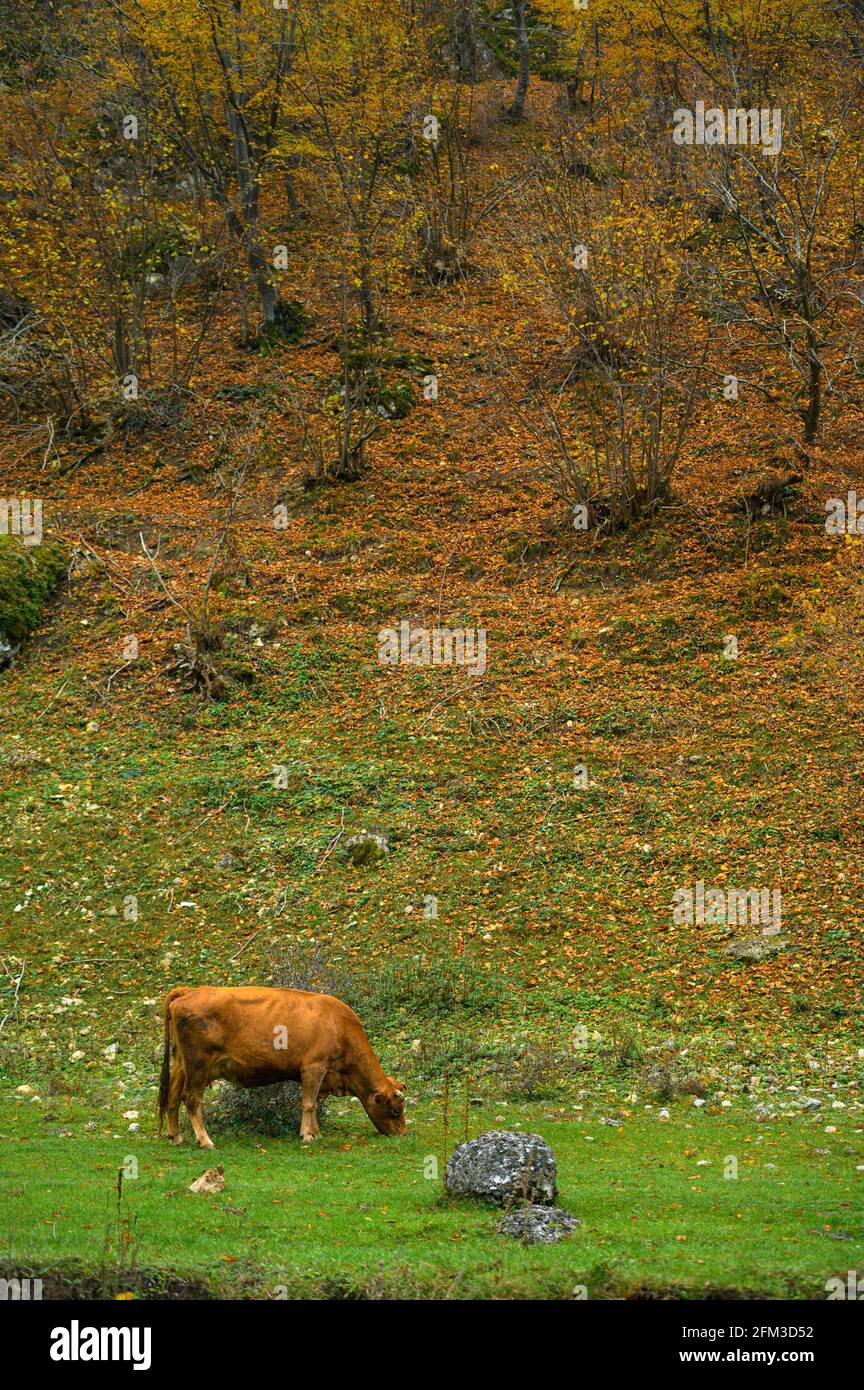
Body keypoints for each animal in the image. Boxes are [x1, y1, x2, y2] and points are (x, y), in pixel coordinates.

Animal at [157, 985, 407, 1147]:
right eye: (395, 1110)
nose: (403, 1133)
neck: (339, 1025)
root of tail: (190, 991)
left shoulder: (323, 1075)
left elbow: (315, 1103)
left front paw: (316, 1132)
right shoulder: (314, 1067)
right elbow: (308, 1103)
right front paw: (307, 1135)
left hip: (181, 1064)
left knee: (172, 1097)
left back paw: (176, 1137)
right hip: (198, 1064)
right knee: (191, 1099)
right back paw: (205, 1140)